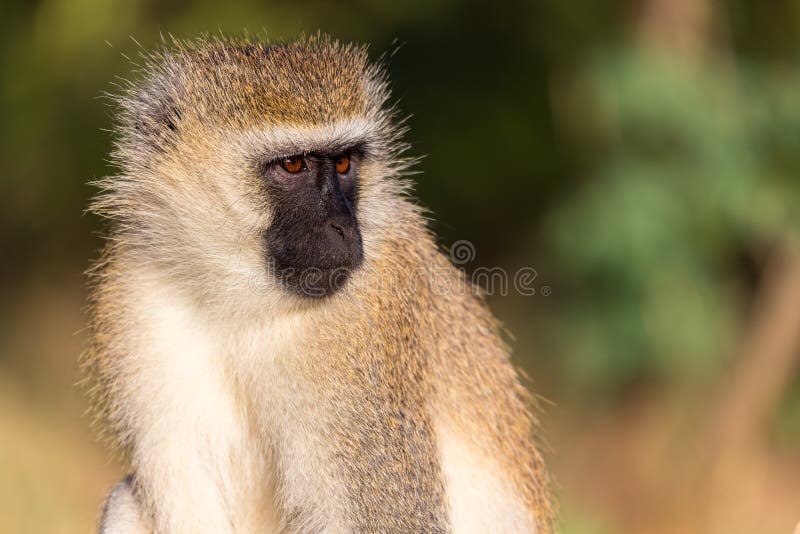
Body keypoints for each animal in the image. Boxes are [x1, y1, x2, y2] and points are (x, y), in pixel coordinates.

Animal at [82, 35, 553, 533]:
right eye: (293, 165)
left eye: (344, 162)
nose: (343, 228)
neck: (241, 297)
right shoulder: (135, 291)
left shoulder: (362, 329)